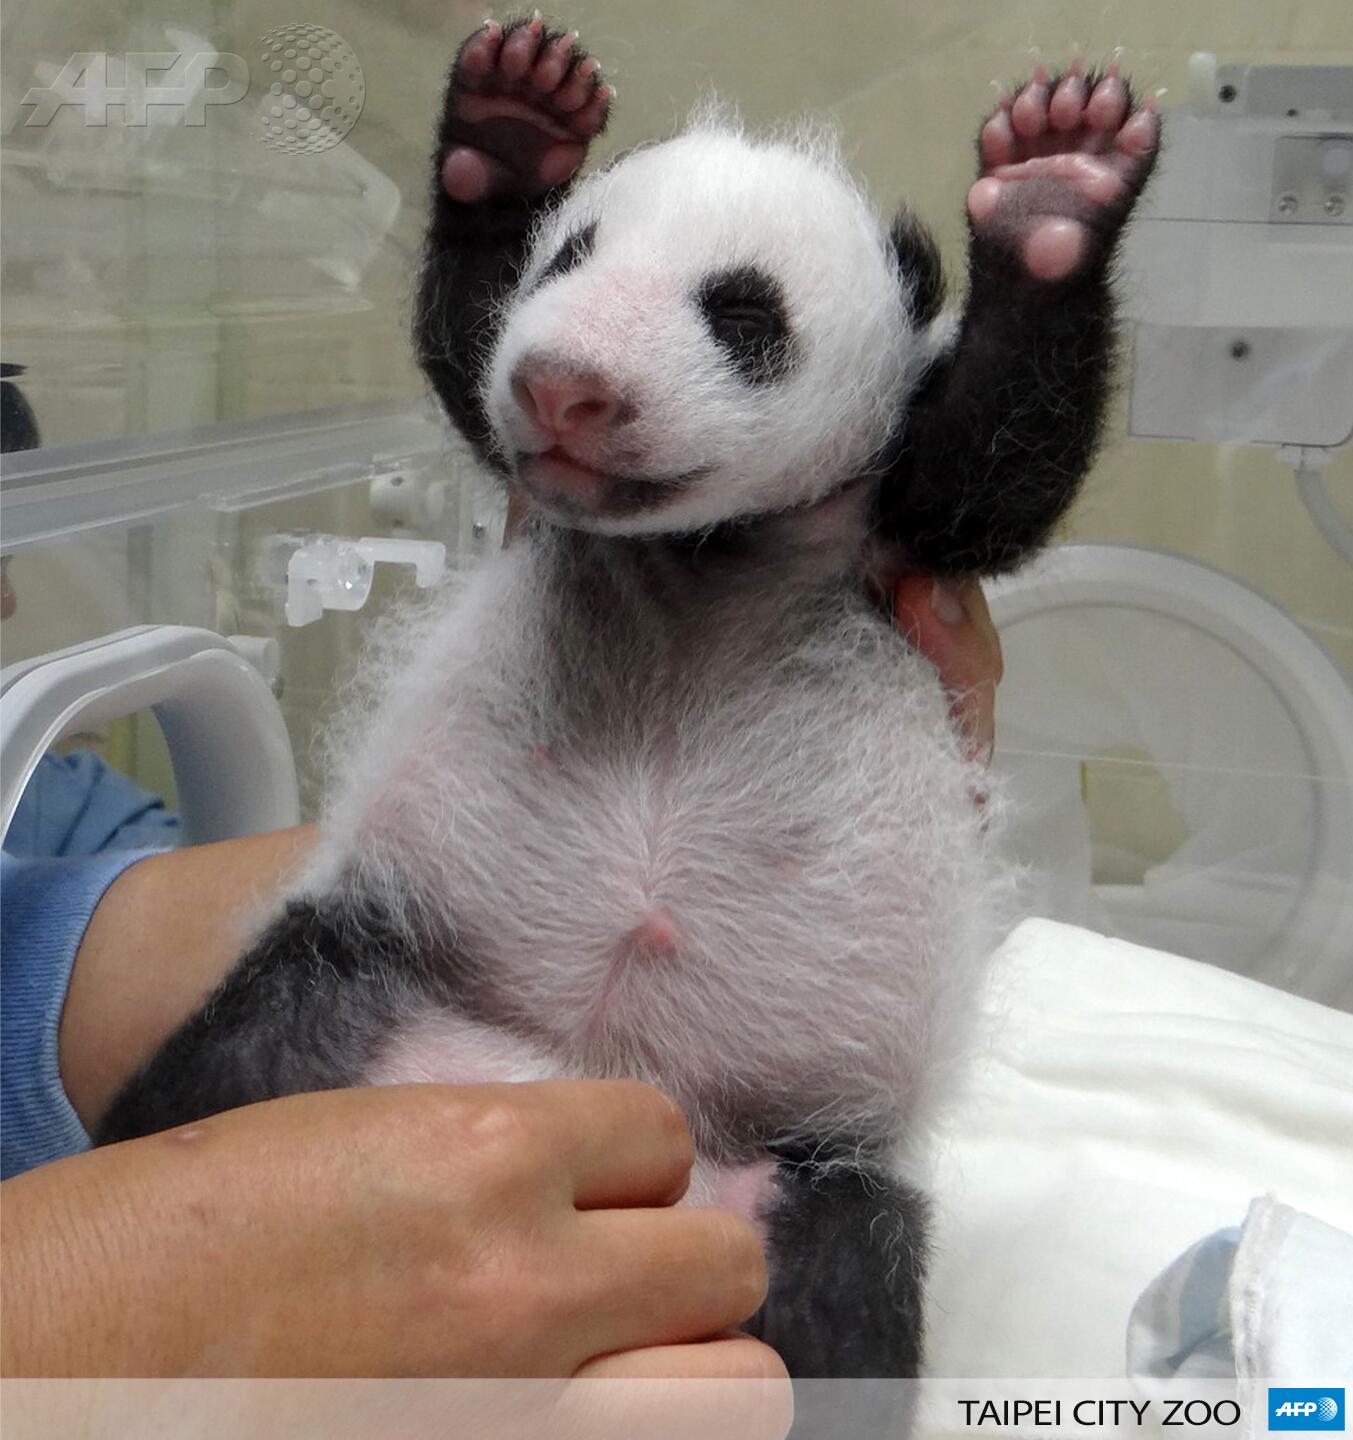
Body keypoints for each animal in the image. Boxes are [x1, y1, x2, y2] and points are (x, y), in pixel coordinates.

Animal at [99, 16, 1160, 1385]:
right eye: (572, 254)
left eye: (743, 314)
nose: (563, 386)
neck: (701, 549)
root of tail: (561, 1082)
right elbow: (464, 349)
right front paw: (509, 126)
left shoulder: (894, 523)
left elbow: (991, 471)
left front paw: (1050, 192)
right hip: (361, 972)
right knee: (226, 1064)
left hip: (812, 1173)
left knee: (844, 1300)